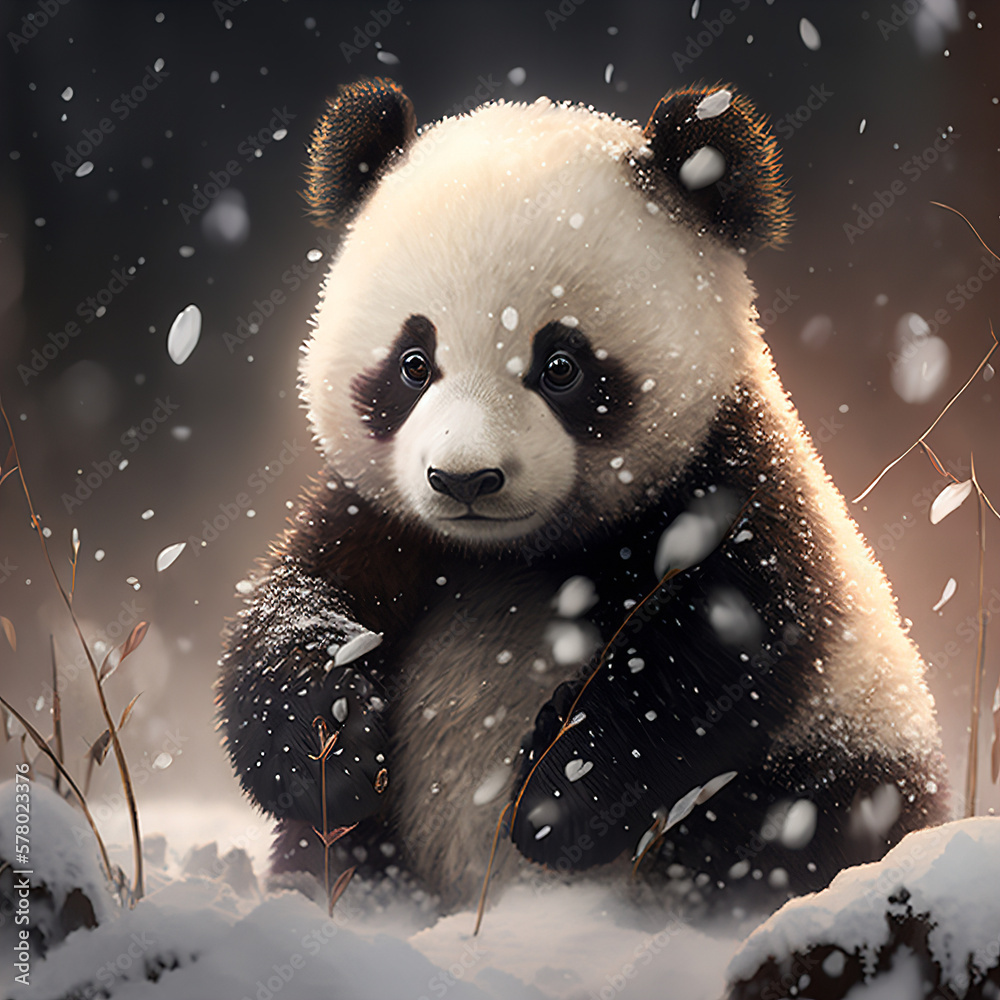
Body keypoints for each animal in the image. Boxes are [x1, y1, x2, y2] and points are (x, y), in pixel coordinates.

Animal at [216, 78, 948, 911]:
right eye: (413, 362)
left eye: (560, 365)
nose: (465, 479)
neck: (517, 552)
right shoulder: (385, 515)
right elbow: (301, 602)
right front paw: (329, 749)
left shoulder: (731, 484)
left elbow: (712, 649)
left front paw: (552, 797)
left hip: (847, 746)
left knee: (806, 815)